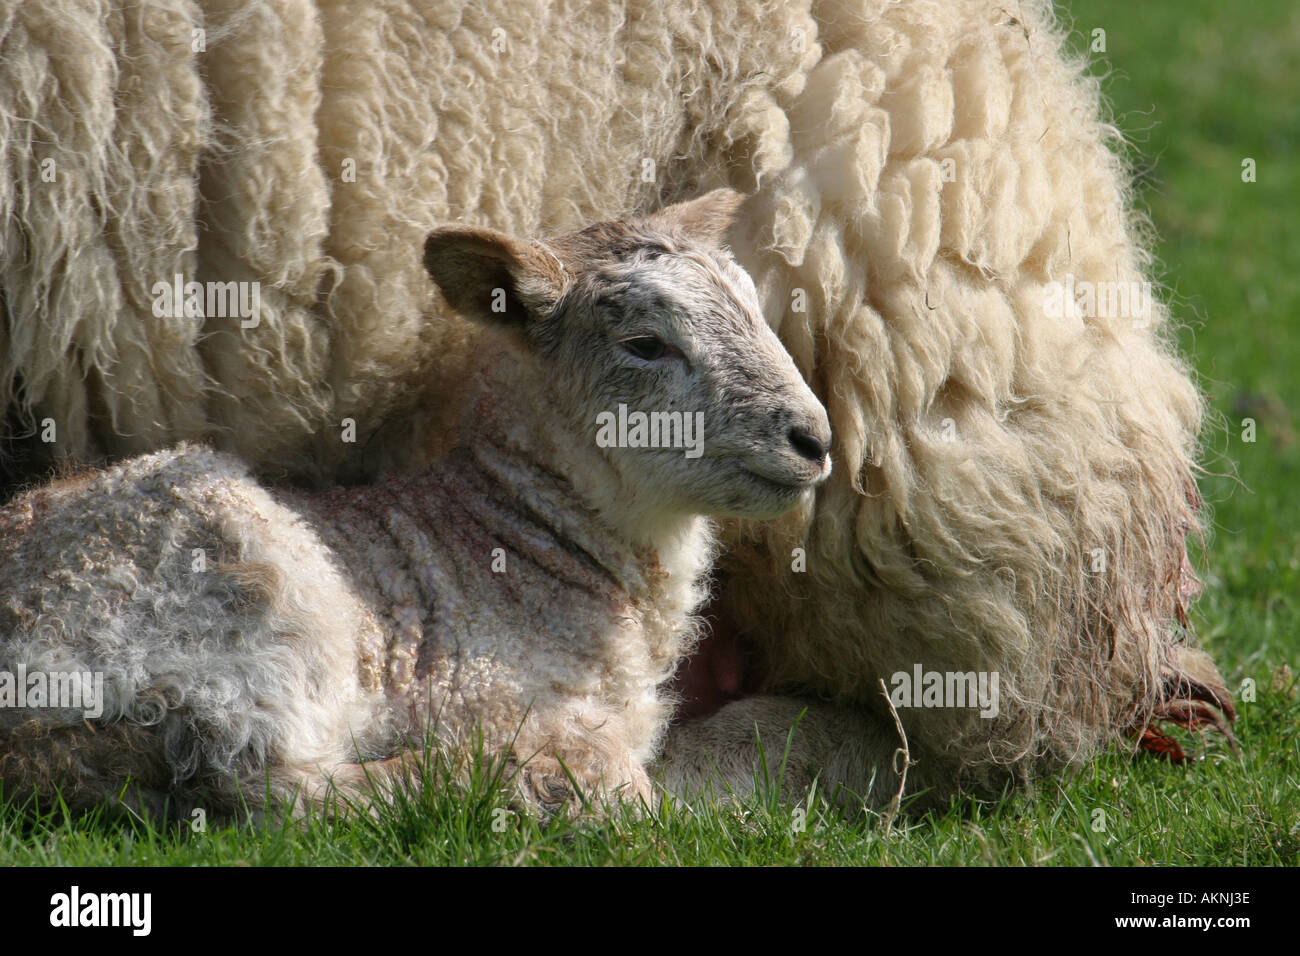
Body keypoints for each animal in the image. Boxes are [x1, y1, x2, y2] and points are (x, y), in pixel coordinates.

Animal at [0, 190, 834, 819]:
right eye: (644, 344)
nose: (814, 438)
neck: (526, 538)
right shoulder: (468, 688)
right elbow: (621, 782)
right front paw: (536, 776)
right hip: (239, 597)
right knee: (277, 793)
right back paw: (486, 779)